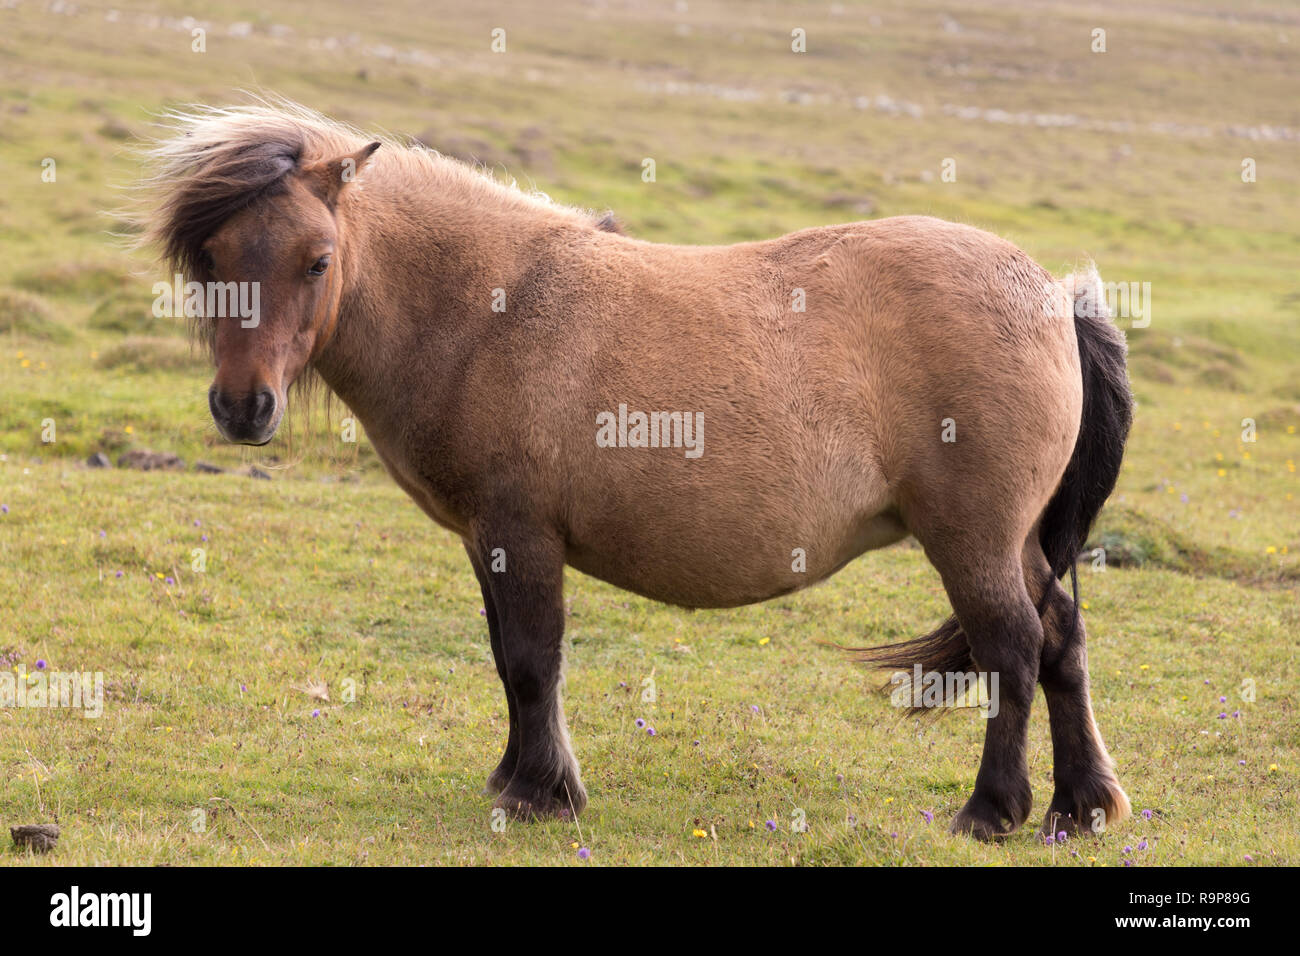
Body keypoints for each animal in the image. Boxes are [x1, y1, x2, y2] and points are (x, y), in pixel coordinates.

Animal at [137, 101, 1133, 840]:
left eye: (318, 261)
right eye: (214, 259)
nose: (243, 407)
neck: (491, 312)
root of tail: (1055, 295)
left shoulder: (520, 535)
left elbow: (531, 659)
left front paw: (539, 794)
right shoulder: (487, 541)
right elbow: (508, 657)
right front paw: (519, 777)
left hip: (973, 542)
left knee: (1014, 648)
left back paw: (991, 812)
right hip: (1016, 545)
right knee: (1062, 642)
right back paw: (1080, 807)